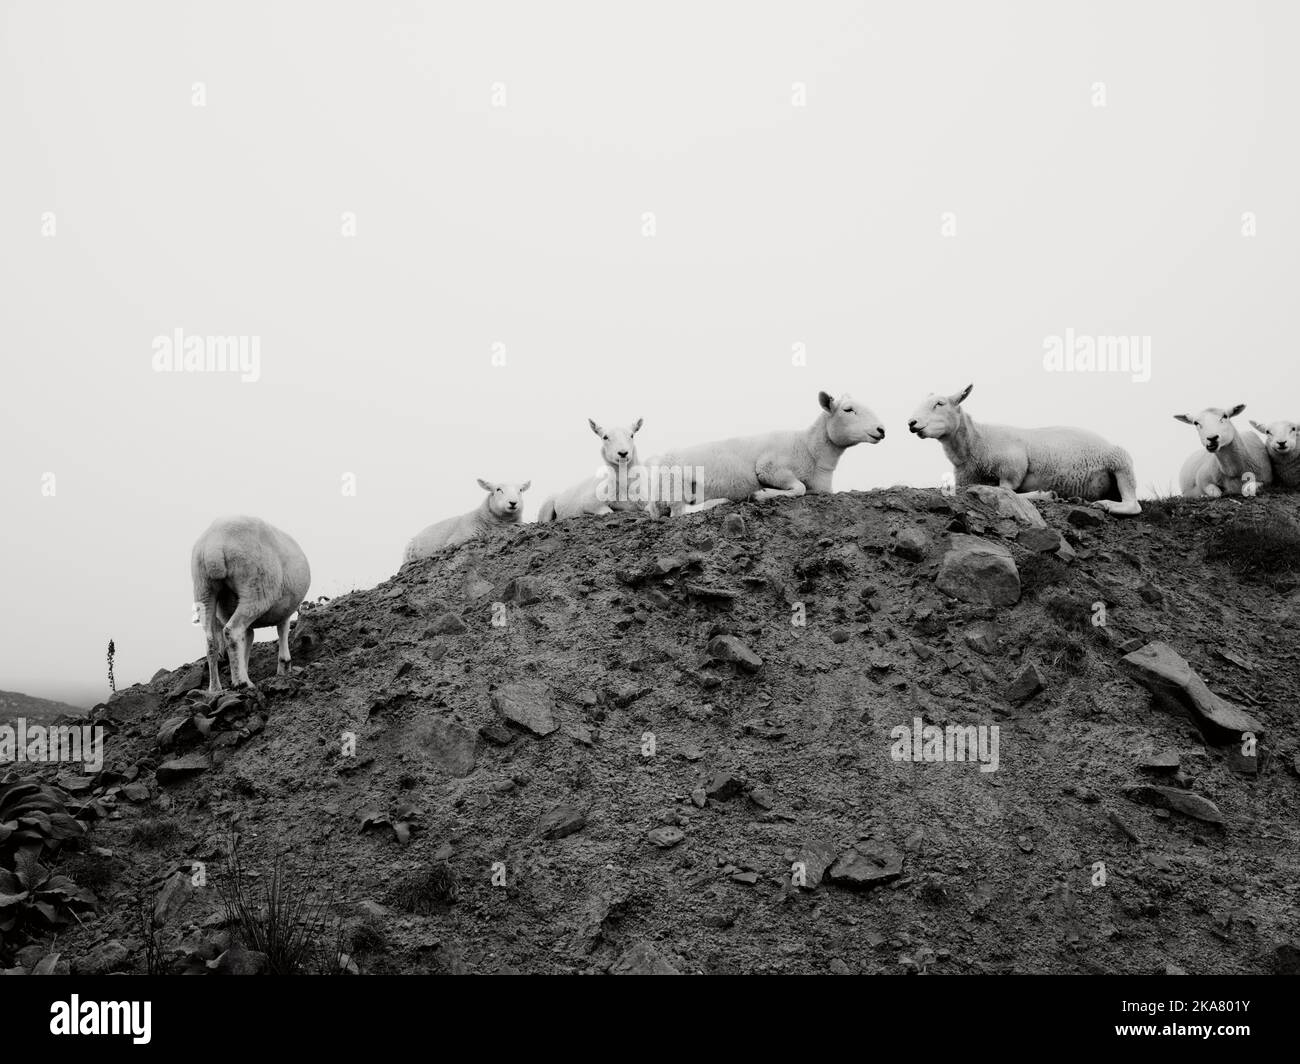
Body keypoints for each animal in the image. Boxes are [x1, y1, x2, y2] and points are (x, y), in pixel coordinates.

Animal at [191, 516, 311, 693]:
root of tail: (216, 543)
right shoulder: (285, 611)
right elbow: (282, 632)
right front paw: (284, 667)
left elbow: (247, 642)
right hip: (256, 588)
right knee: (232, 631)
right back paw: (243, 683)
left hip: (204, 589)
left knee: (211, 642)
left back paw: (215, 688)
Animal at [642, 391, 885, 517]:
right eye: (848, 410)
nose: (881, 429)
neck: (808, 448)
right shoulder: (769, 468)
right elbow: (799, 488)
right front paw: (762, 494)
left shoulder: (821, 487)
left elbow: (806, 489)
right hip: (675, 491)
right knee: (678, 513)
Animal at [907, 383, 1142, 515]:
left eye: (940, 403)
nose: (911, 423)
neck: (978, 441)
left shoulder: (1011, 471)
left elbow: (1008, 492)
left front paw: (1045, 495)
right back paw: (1079, 500)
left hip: (1120, 462)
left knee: (1133, 504)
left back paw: (1105, 505)